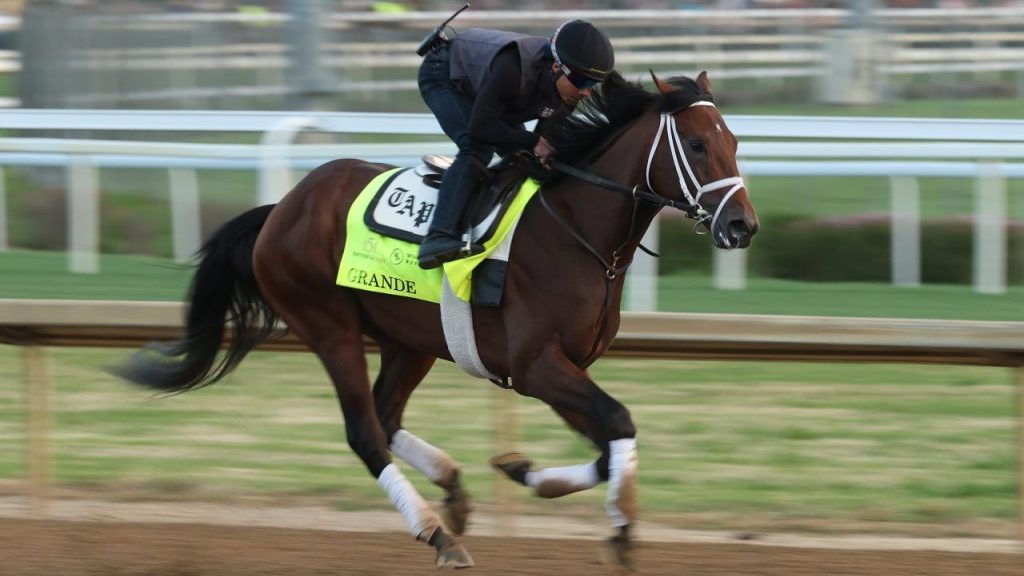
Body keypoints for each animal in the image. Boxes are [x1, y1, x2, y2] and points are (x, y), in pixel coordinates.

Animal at [114, 70, 758, 571]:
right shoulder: (536, 366)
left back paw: (452, 488)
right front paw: (622, 530)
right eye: (696, 145)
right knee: (364, 430)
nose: (742, 226)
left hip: (410, 341)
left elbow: (608, 444)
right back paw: (437, 532)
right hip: (328, 326)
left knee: (386, 413)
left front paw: (525, 471)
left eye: (732, 140)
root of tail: (282, 209)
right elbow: (619, 421)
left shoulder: (566, 367)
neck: (576, 231)